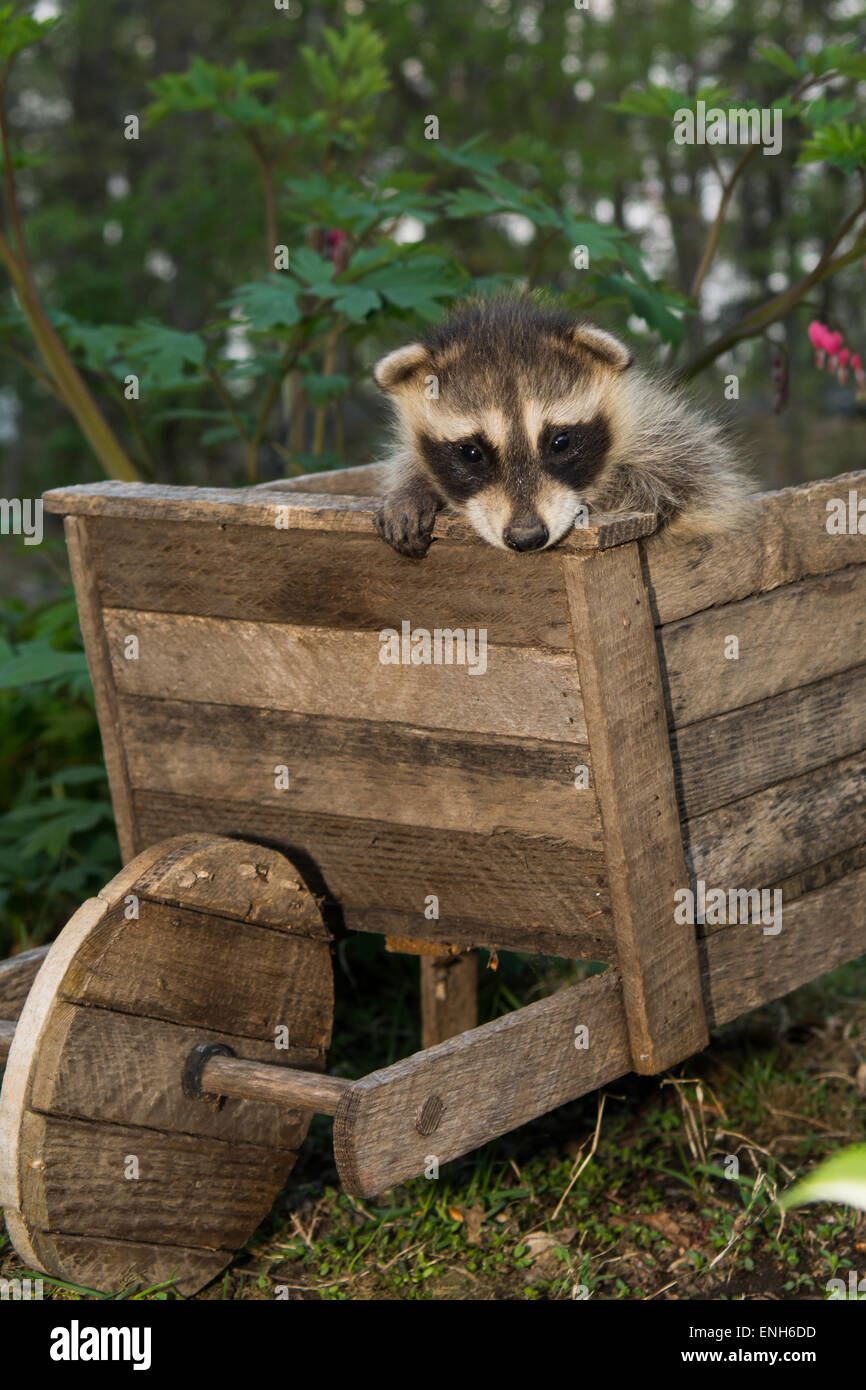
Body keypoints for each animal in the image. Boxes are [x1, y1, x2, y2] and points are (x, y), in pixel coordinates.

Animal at [371, 297, 751, 557]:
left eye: (561, 442)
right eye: (471, 452)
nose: (526, 538)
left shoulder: (666, 435)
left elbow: (685, 486)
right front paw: (414, 488)